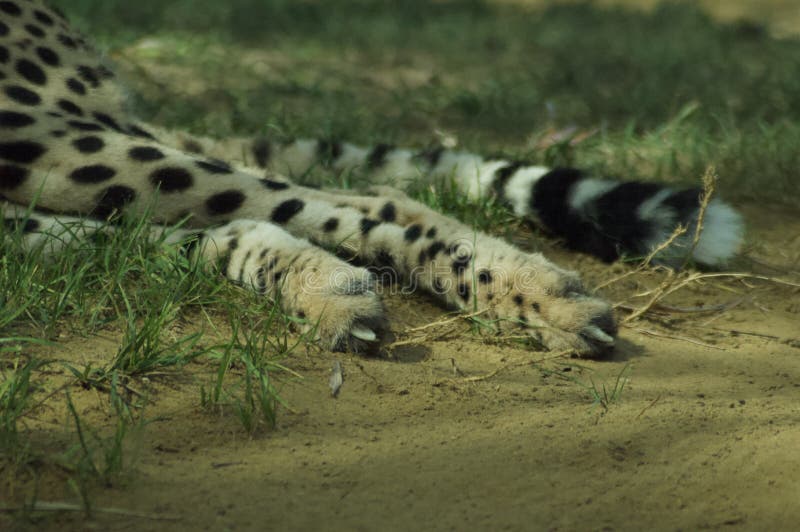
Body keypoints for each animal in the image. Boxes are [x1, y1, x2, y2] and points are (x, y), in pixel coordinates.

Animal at [0, 0, 744, 357]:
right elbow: (163, 241)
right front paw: (321, 286)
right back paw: (326, 289)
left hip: (37, 139)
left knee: (355, 198)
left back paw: (534, 296)